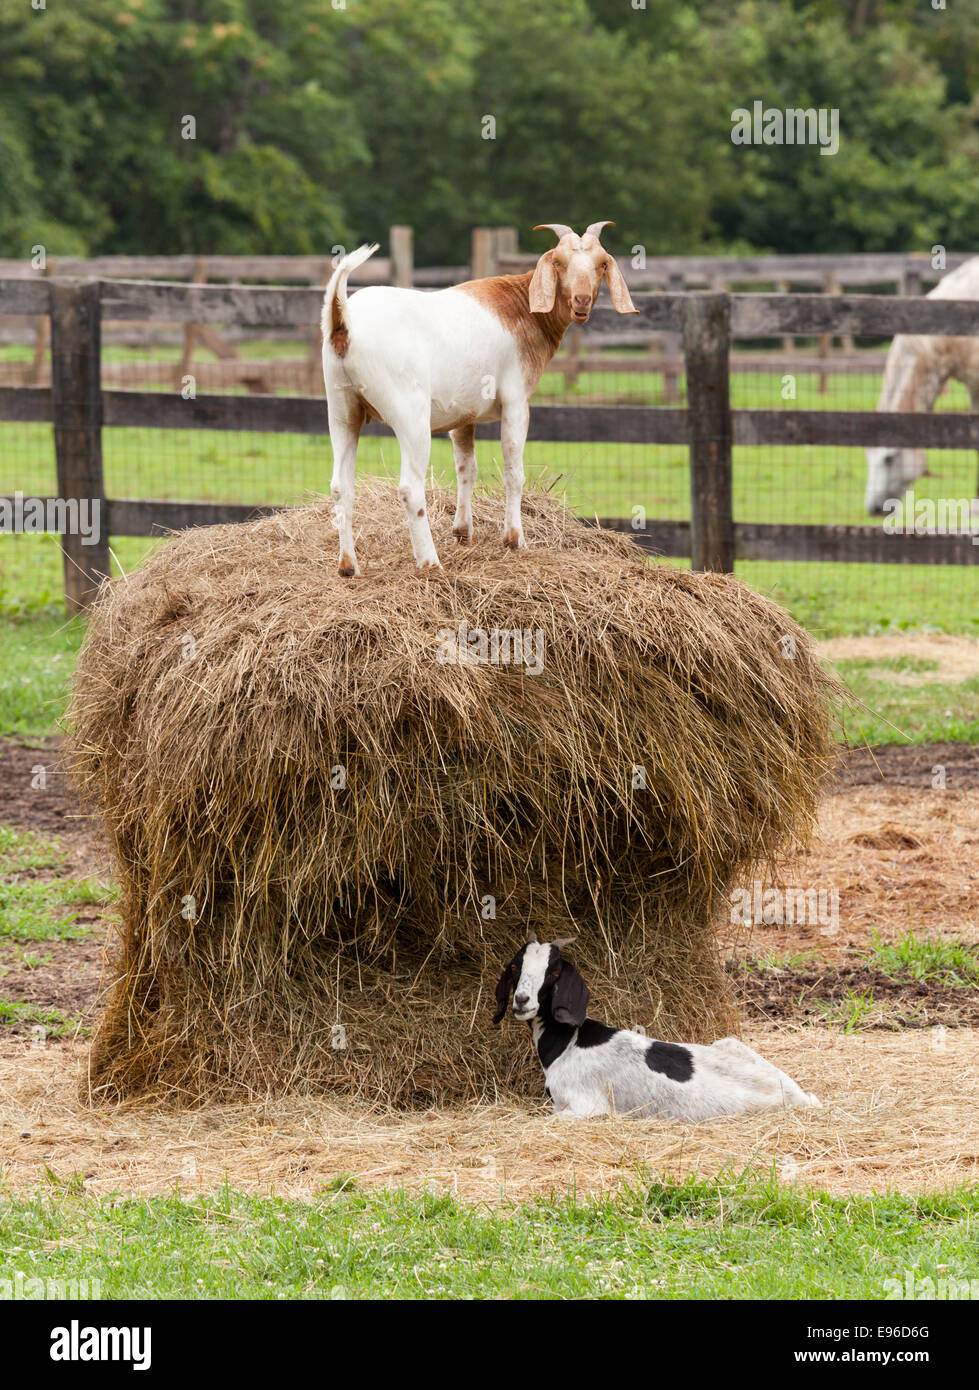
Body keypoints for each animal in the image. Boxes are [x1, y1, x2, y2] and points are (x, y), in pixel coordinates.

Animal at [321, 223, 638, 576]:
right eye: (558, 262)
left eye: (601, 264)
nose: (581, 301)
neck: (521, 309)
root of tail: (343, 320)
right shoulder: (516, 401)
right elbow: (513, 471)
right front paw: (514, 540)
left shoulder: (464, 413)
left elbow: (466, 467)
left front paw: (463, 532)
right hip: (410, 415)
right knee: (409, 488)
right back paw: (430, 562)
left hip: (342, 410)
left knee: (341, 486)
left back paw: (349, 566)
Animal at [493, 933, 821, 1120]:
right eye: (515, 967)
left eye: (553, 972)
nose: (522, 1000)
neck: (569, 1042)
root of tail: (801, 1098)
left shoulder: (581, 1108)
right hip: (728, 1042)